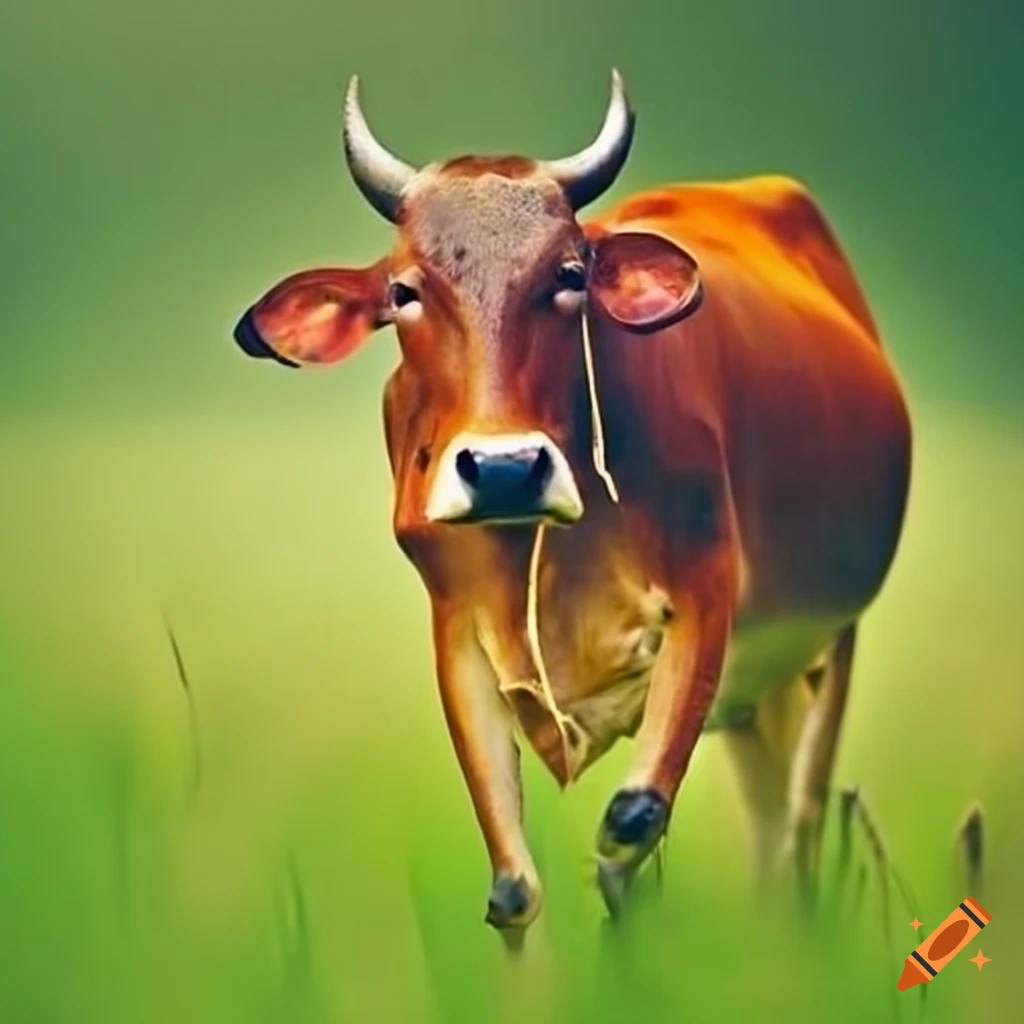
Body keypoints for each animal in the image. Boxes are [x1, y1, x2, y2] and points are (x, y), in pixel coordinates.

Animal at [232, 69, 912, 939]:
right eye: (403, 290)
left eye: (570, 274)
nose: (504, 469)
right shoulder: (455, 629)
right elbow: (513, 888)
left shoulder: (707, 594)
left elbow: (629, 828)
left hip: (831, 641)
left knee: (796, 834)